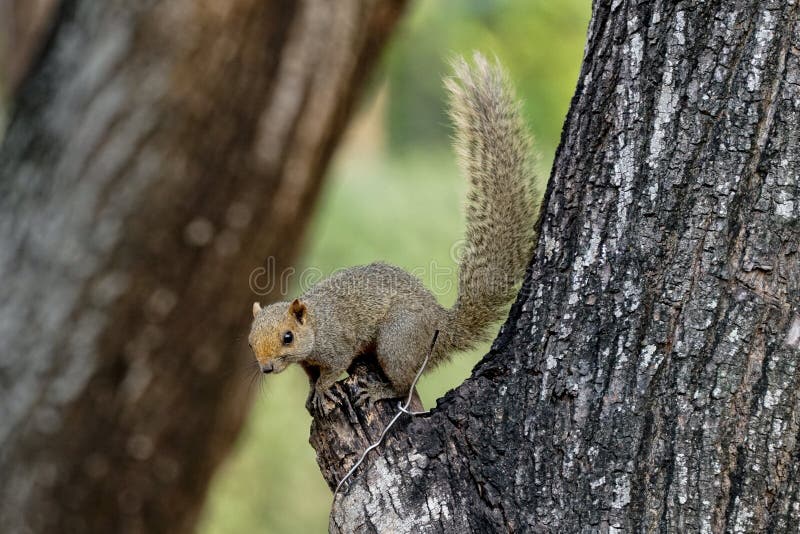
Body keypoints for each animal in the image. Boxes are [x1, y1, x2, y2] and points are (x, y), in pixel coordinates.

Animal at [248, 54, 539, 411]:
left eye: (287, 337)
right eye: (250, 342)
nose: (266, 368)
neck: (316, 323)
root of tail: (440, 329)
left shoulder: (337, 346)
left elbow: (332, 371)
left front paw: (322, 389)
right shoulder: (307, 363)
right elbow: (311, 376)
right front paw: (310, 393)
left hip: (396, 341)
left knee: (405, 385)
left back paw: (379, 391)